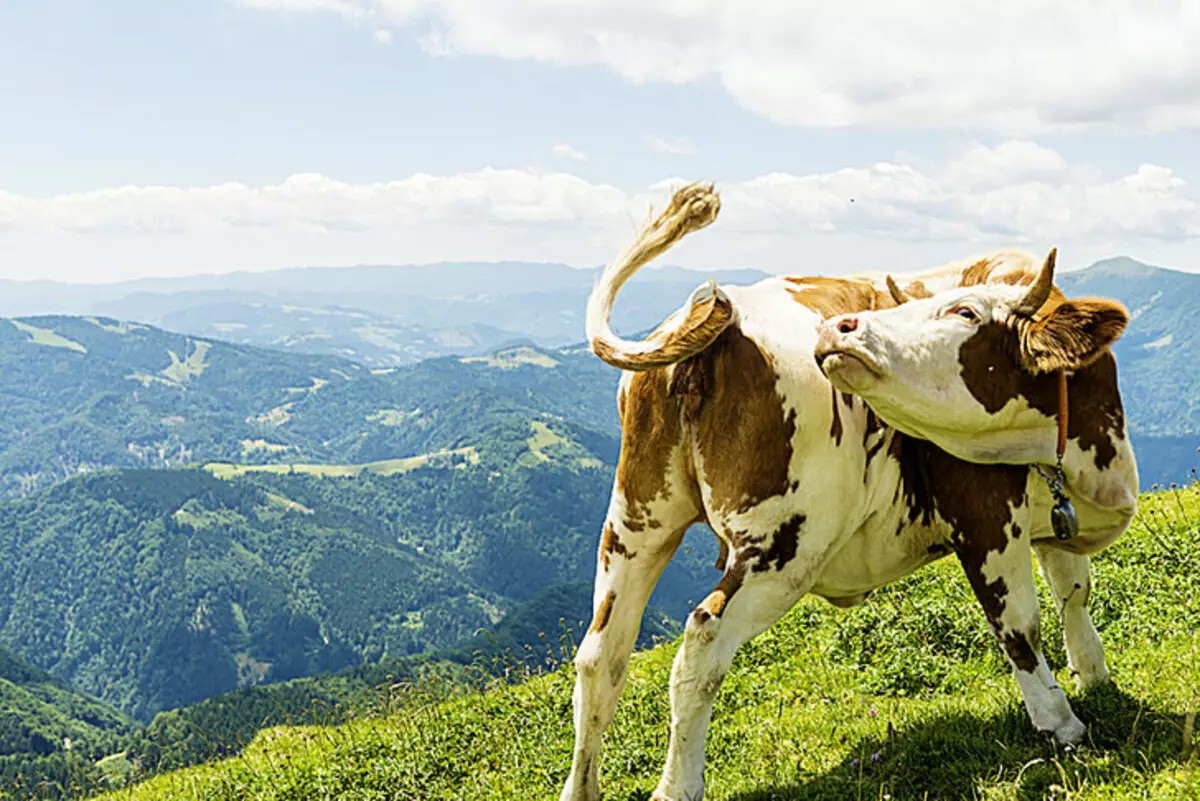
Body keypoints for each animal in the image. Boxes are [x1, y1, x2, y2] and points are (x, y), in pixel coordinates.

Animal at [556, 183, 1137, 801]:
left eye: (963, 311)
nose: (840, 328)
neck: (1083, 454)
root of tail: (722, 319)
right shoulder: (983, 512)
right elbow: (1019, 623)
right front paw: (1059, 719)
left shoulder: (1053, 502)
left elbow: (1074, 589)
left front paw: (1093, 672)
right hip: (785, 546)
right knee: (701, 642)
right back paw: (678, 786)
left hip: (638, 520)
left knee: (601, 656)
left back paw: (582, 787)